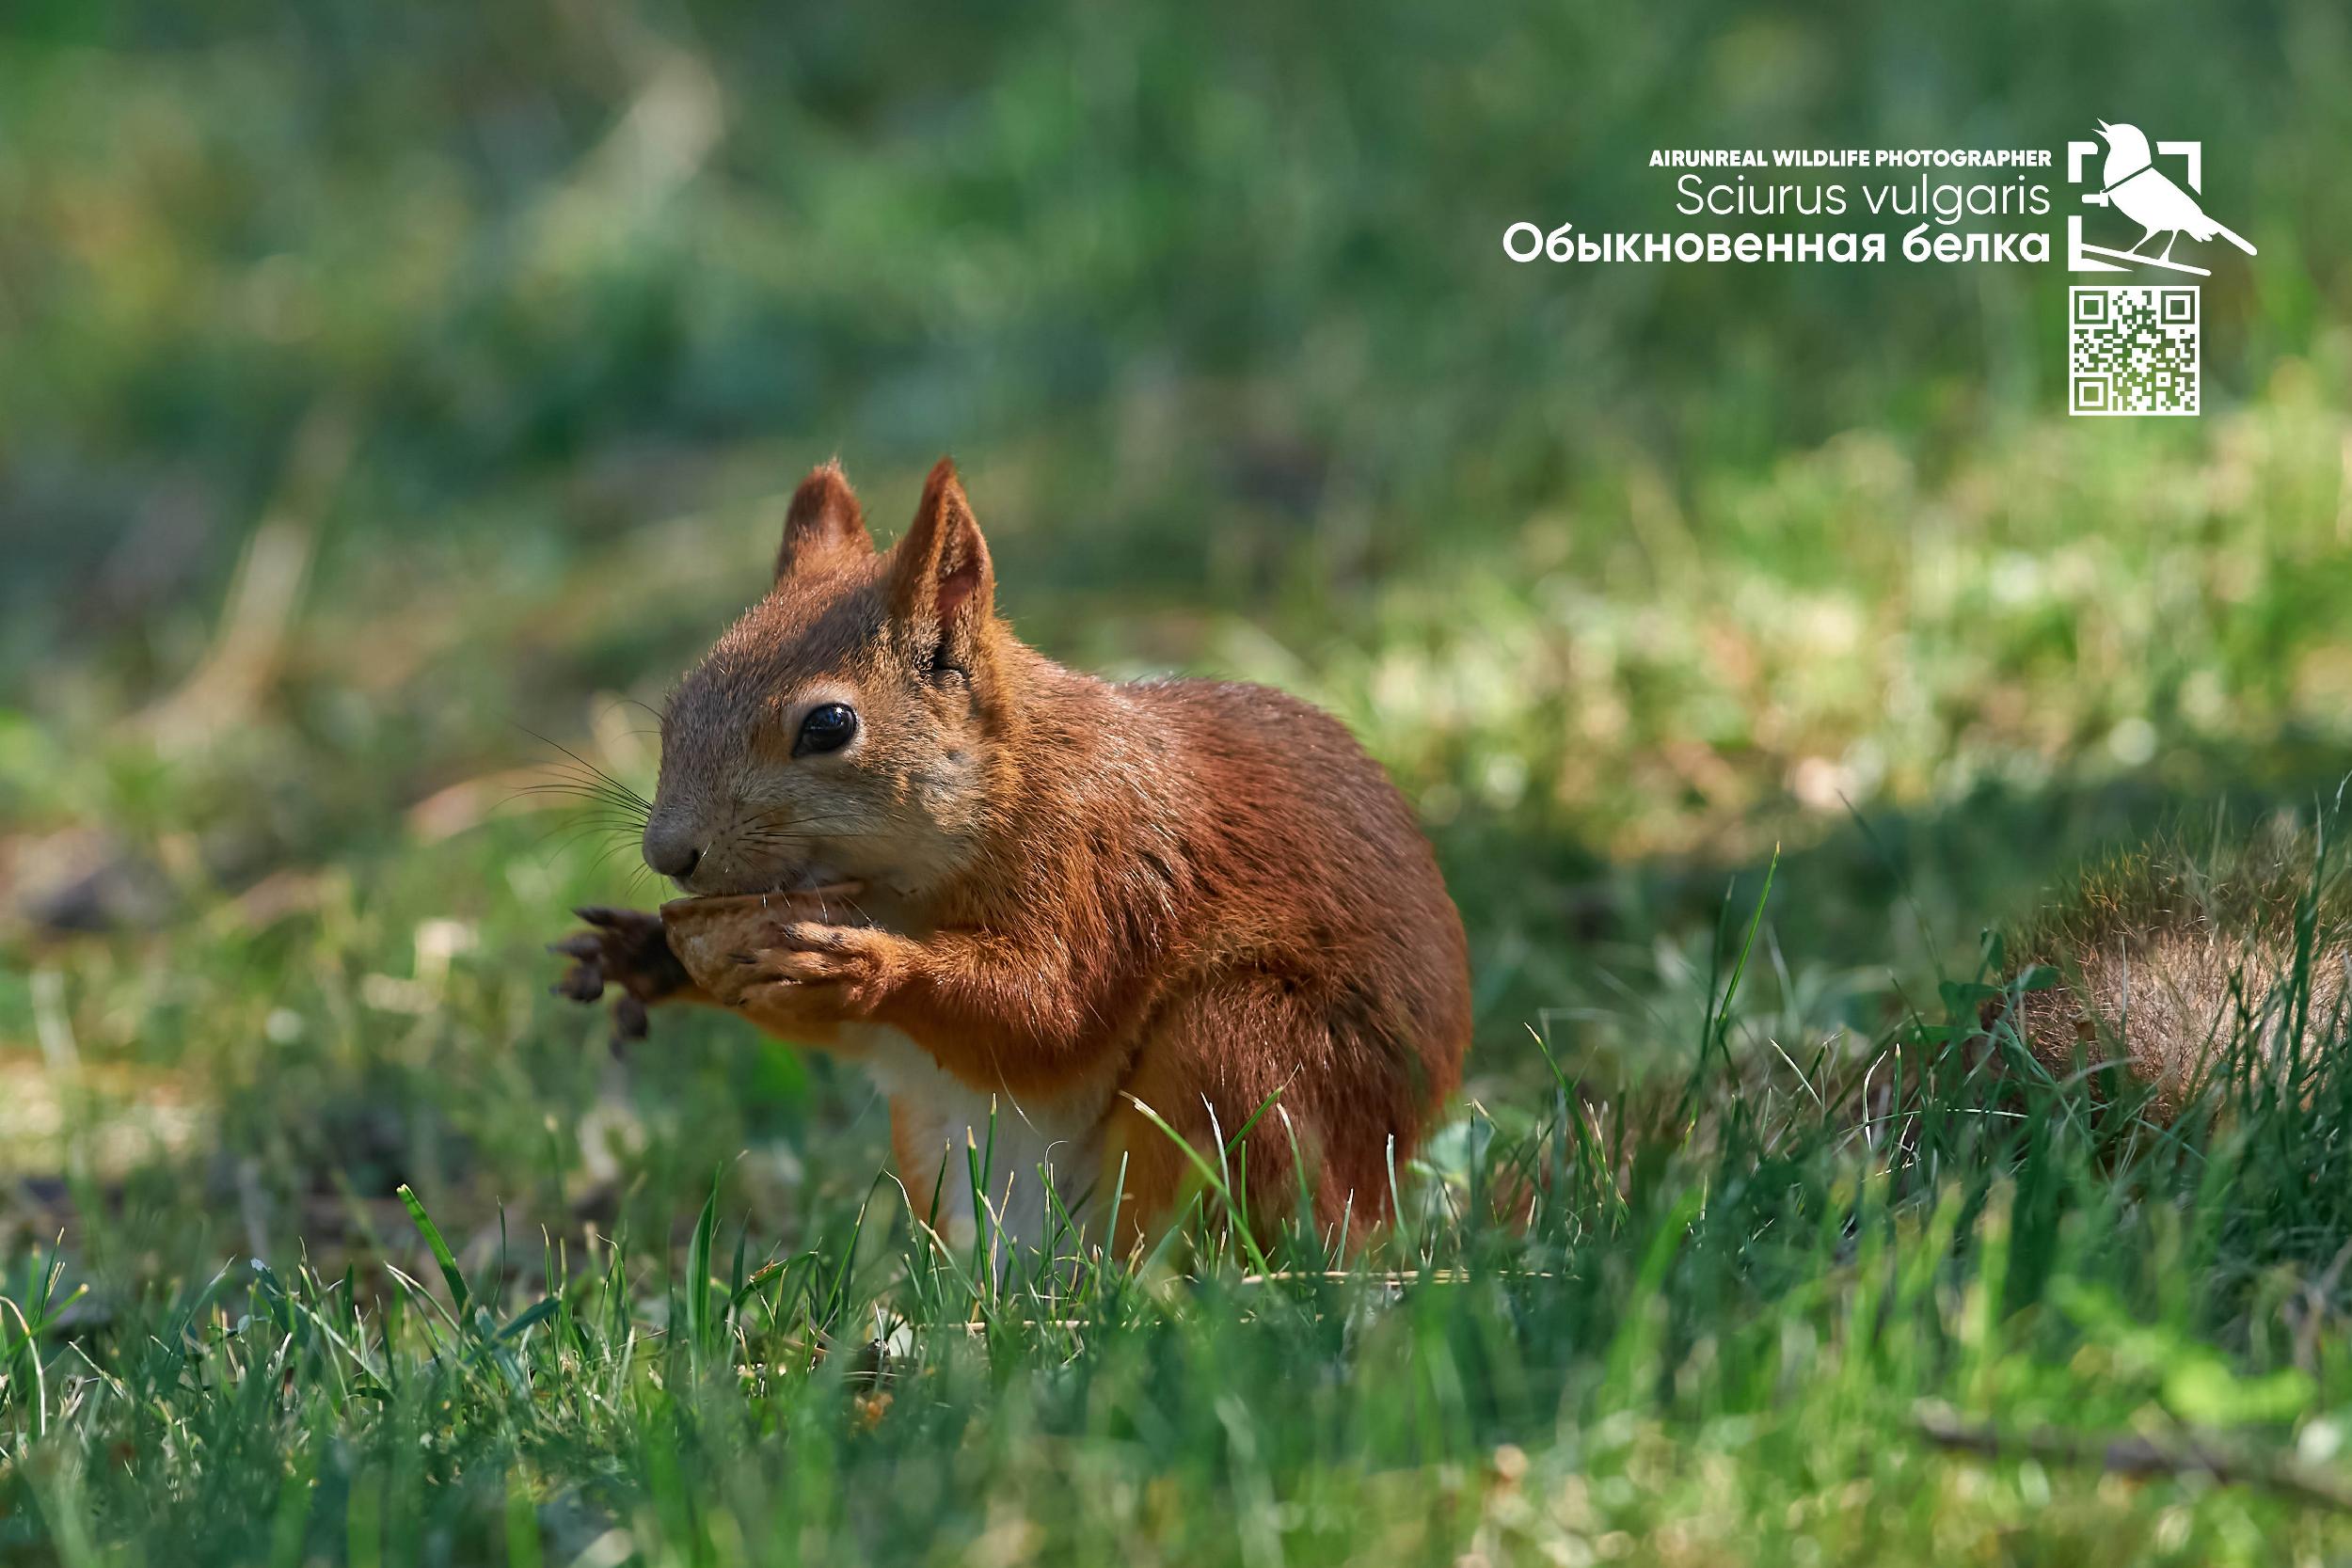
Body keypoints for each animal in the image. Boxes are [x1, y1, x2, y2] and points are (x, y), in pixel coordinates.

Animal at [552, 458, 1471, 1255]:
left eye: (829, 725)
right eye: (676, 705)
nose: (669, 852)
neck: (899, 884)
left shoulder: (1104, 859)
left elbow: (1051, 1009)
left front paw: (867, 966)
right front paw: (643, 953)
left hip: (1254, 1054)